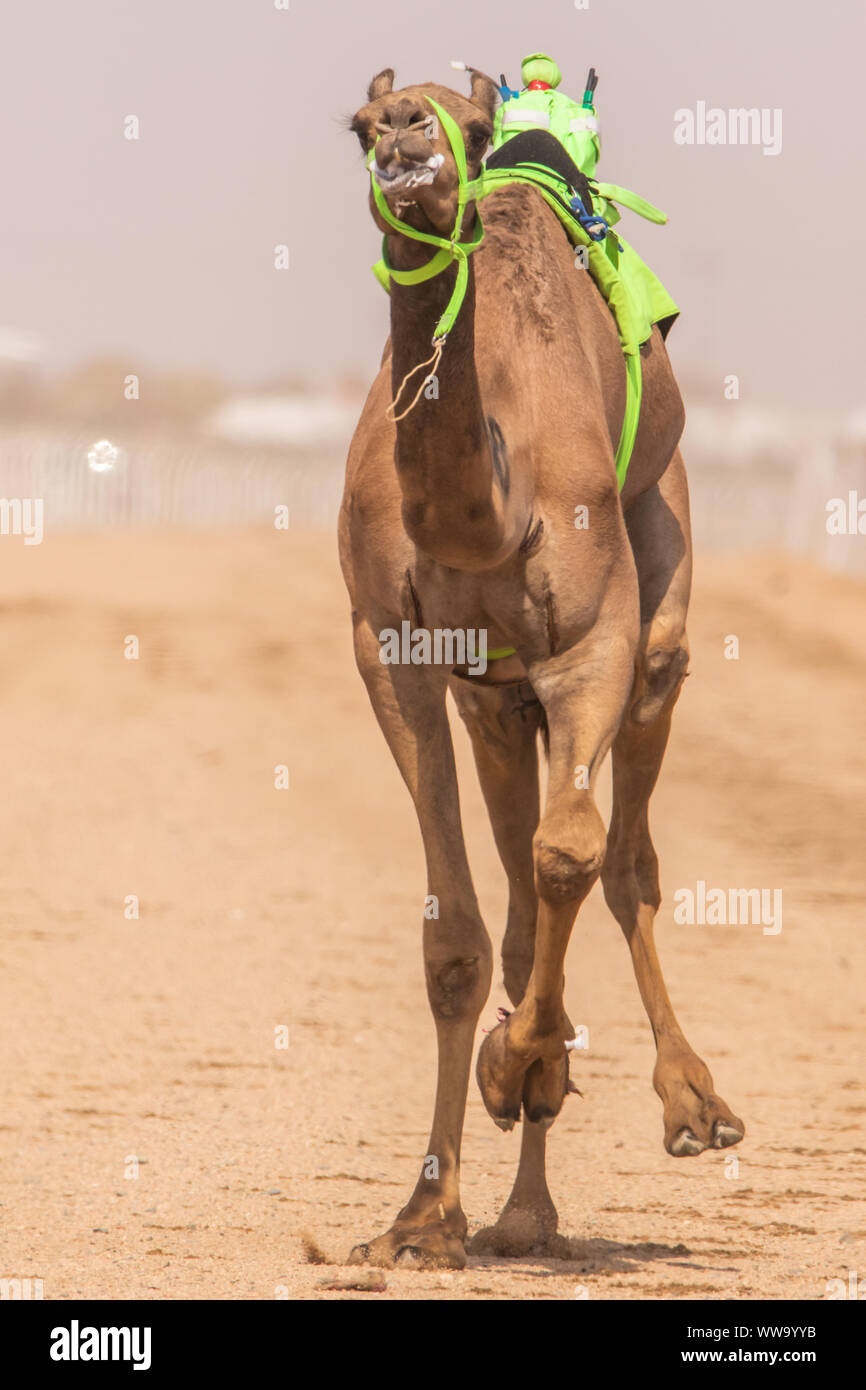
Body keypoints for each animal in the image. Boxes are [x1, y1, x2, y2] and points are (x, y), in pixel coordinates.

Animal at [338, 65, 744, 1270]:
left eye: (472, 132)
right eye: (358, 128)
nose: (408, 136)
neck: (490, 507)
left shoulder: (591, 643)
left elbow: (574, 852)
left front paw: (517, 1065)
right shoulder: (393, 650)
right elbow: (459, 939)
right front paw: (421, 1219)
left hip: (656, 583)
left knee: (622, 860)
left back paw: (686, 1104)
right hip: (494, 703)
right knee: (521, 908)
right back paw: (524, 1206)